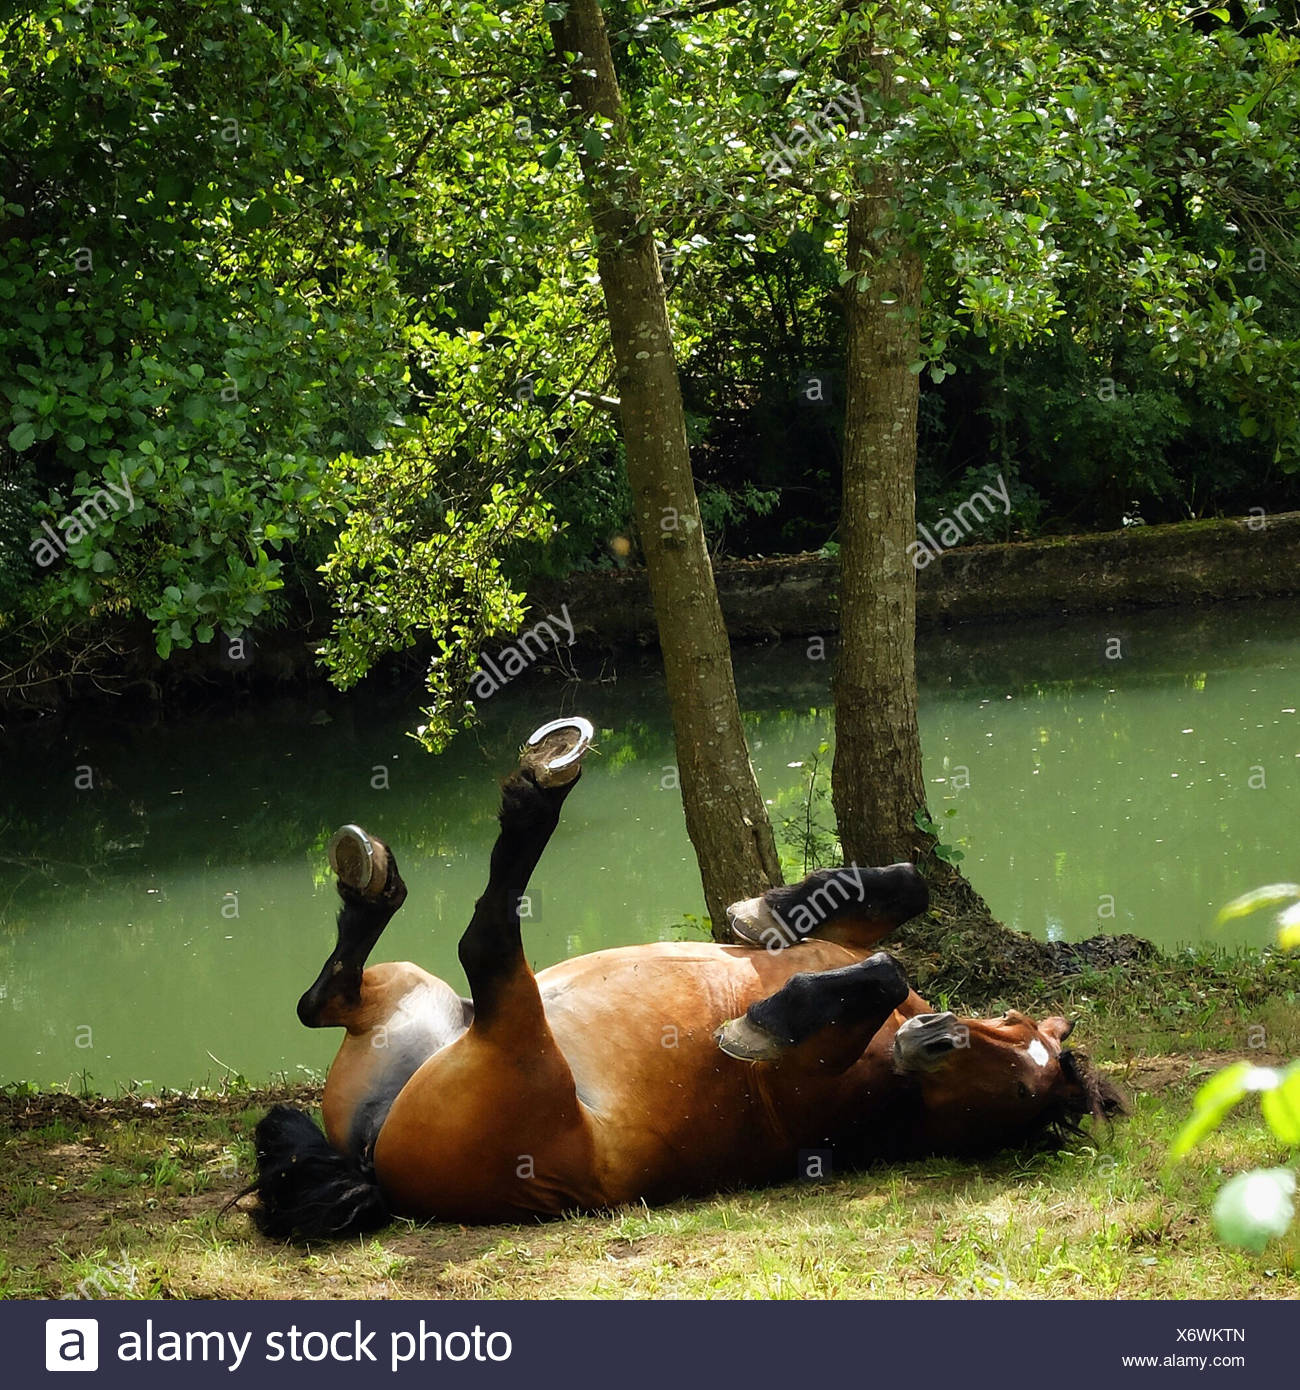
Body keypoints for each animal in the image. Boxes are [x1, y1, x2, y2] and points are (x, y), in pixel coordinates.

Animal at [242, 717, 1123, 1239]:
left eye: (1021, 1088)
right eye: (1011, 1031)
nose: (933, 1038)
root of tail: (370, 1171)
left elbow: (877, 968)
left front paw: (759, 1023)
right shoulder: (846, 940)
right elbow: (903, 887)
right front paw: (765, 912)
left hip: (514, 1037)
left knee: (484, 943)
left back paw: (535, 795)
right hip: (411, 994)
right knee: (323, 998)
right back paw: (376, 878)